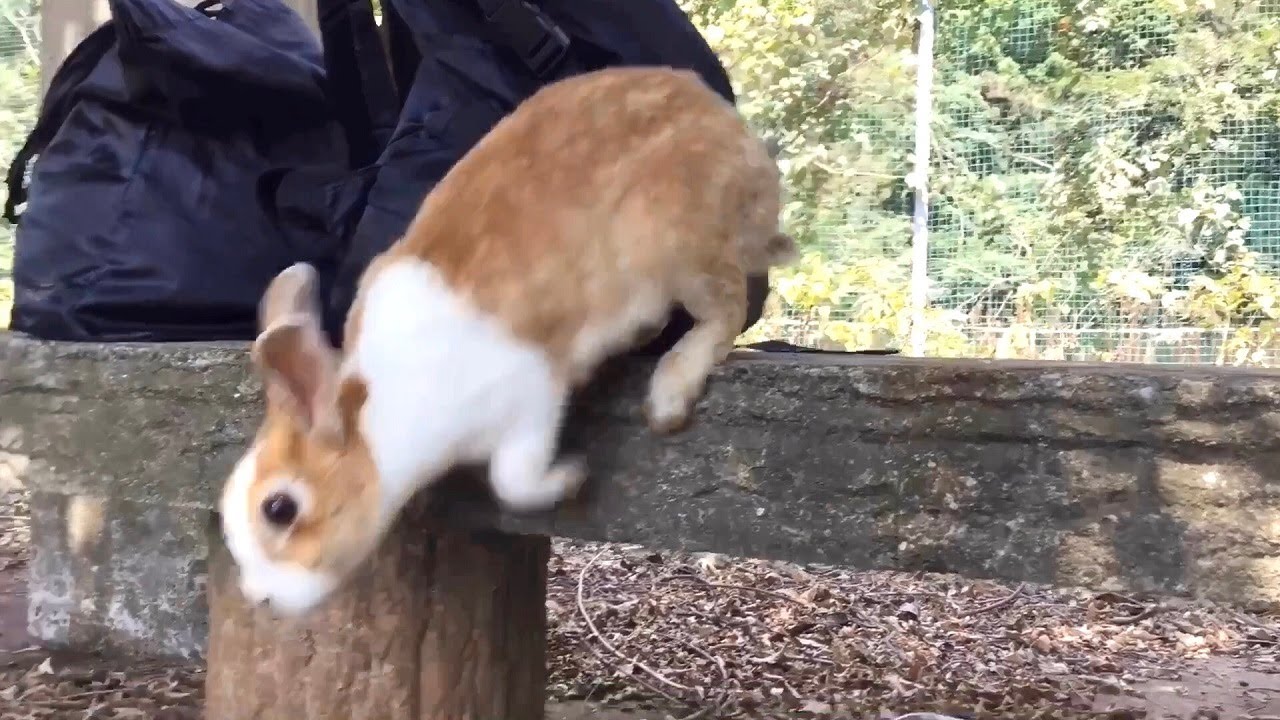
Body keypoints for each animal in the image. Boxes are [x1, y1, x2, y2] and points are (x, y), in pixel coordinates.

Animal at [217, 65, 798, 614]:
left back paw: (669, 393)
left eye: (280, 509)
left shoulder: (530, 396)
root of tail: (738, 138)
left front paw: (571, 477)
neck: (380, 421)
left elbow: (512, 480)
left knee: (725, 311)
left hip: (676, 238)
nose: (260, 599)